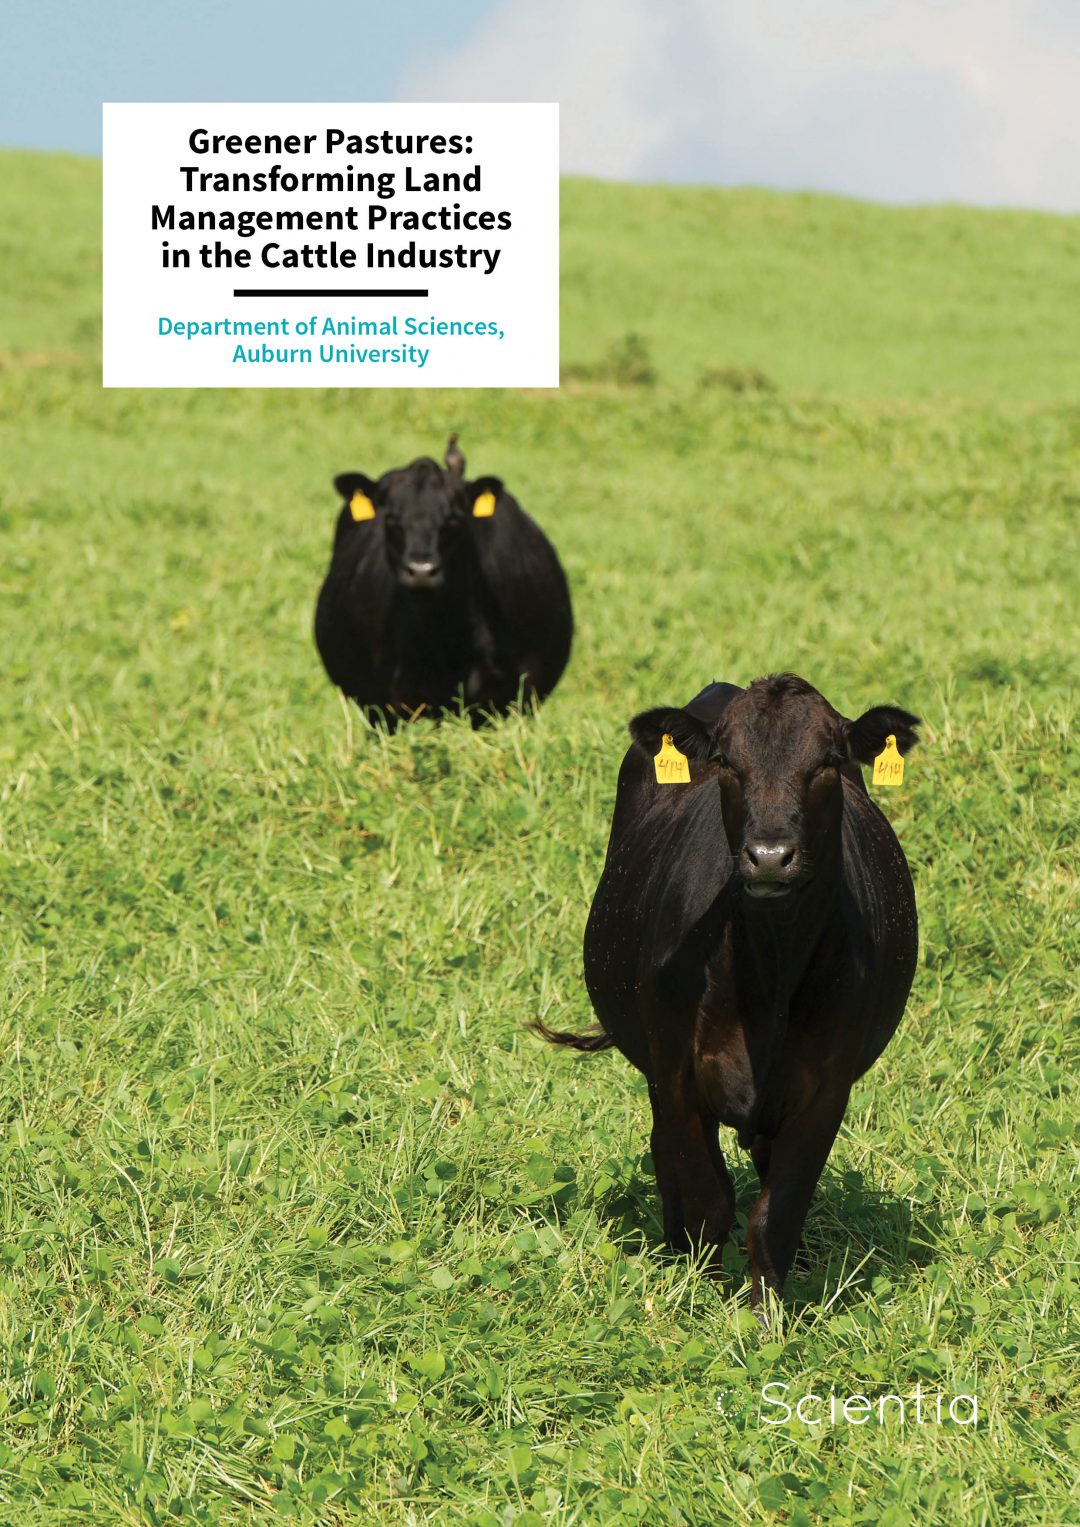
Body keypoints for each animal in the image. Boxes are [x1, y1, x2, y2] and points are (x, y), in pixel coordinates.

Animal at [535, 674, 920, 1317]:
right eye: (725, 763)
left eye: (828, 761)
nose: (769, 856)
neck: (769, 971)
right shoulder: (676, 1074)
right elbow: (707, 1197)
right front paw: (699, 1296)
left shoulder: (826, 1089)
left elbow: (774, 1214)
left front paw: (769, 1317)